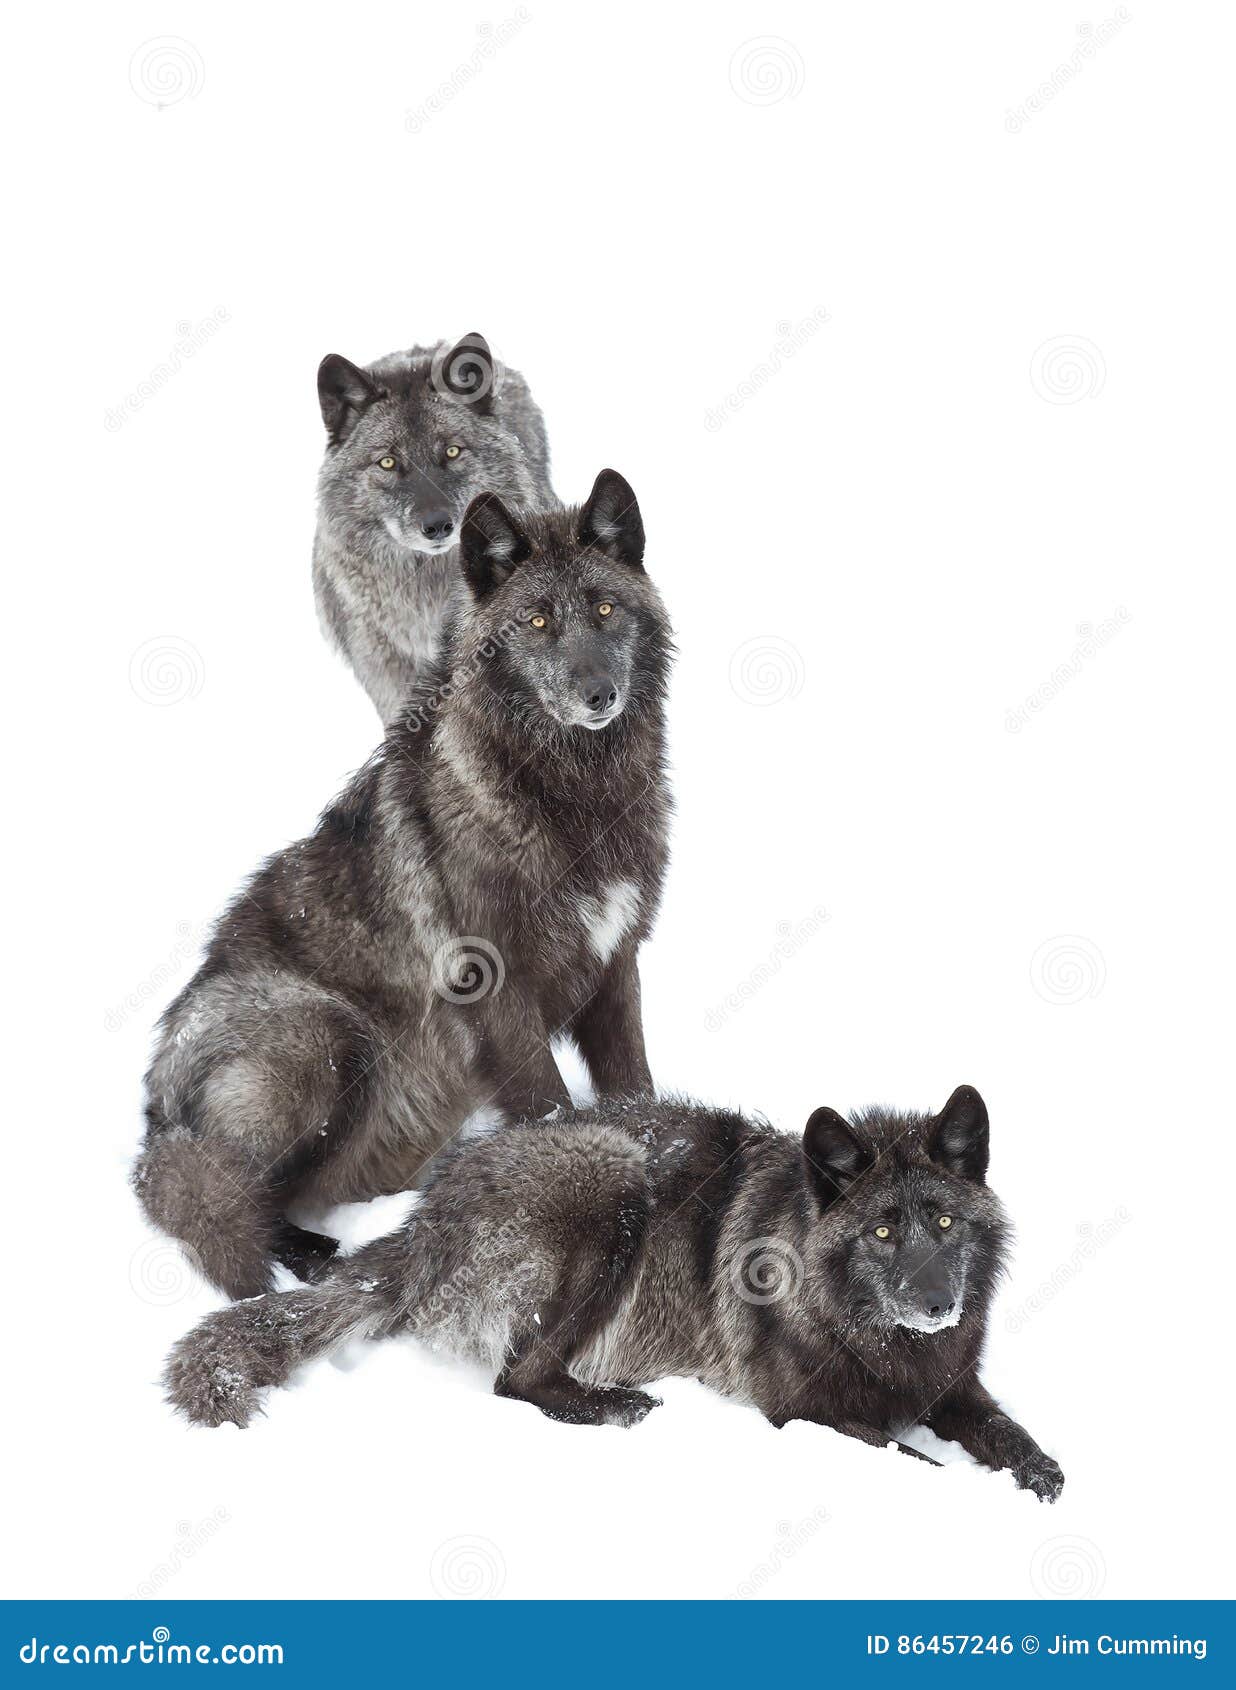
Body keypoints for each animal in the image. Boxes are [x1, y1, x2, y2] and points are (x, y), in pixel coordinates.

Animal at [136, 471, 672, 1299]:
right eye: (538, 620)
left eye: (605, 609)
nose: (598, 694)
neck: (572, 796)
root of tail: (155, 1108)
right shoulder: (498, 996)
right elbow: (551, 1107)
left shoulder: (616, 968)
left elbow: (635, 1087)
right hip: (329, 1040)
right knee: (234, 1201)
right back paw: (323, 1260)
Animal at [163, 1085, 1064, 1500]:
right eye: (881, 1233)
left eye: (942, 1221)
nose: (937, 1306)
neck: (871, 1336)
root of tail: (425, 1218)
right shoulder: (801, 1416)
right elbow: (912, 1459)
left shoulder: (951, 1384)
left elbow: (1007, 1432)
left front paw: (1038, 1471)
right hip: (612, 1184)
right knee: (517, 1379)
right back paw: (614, 1405)